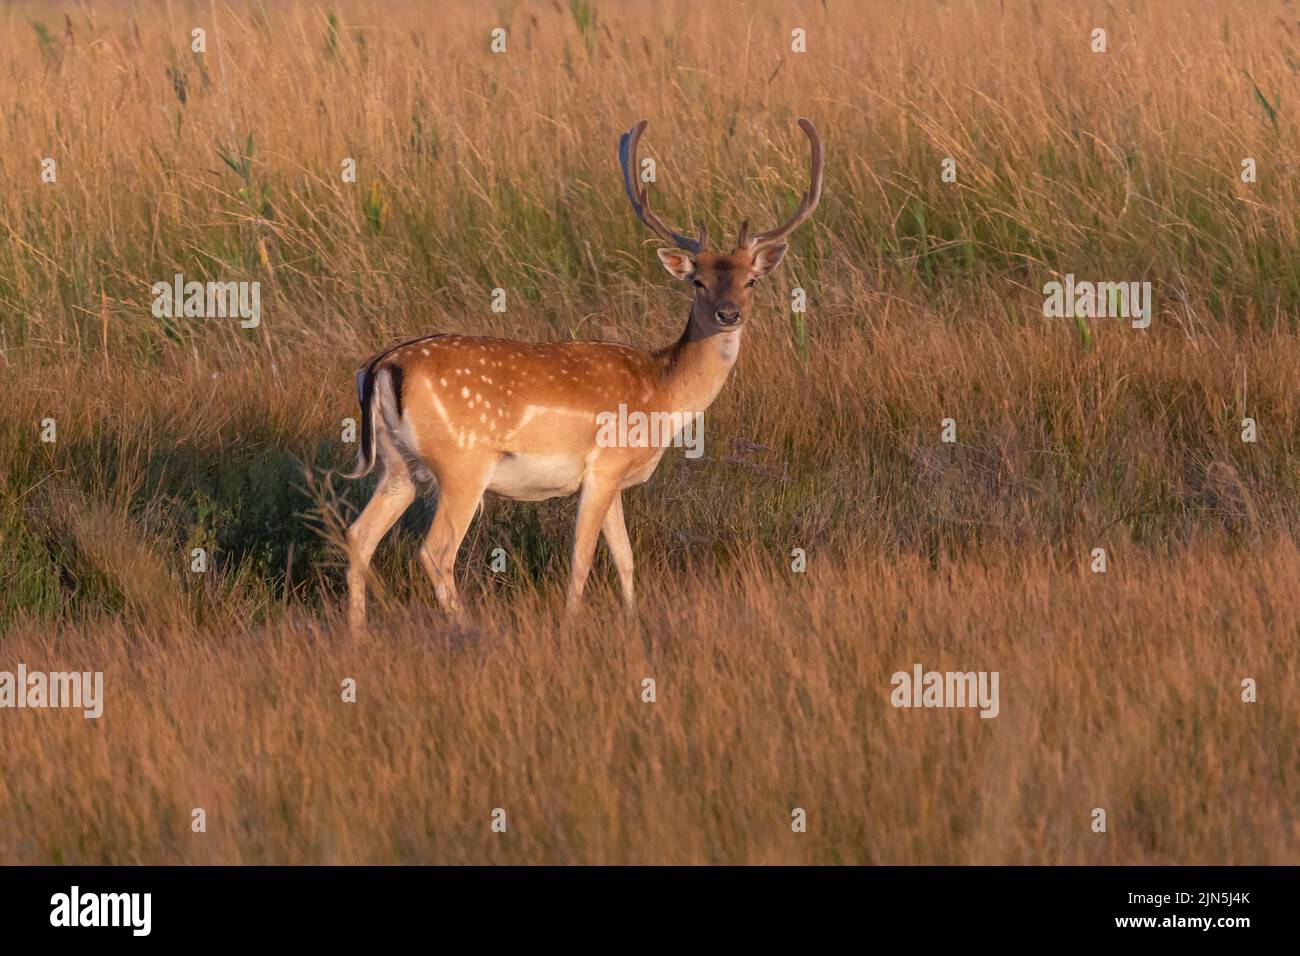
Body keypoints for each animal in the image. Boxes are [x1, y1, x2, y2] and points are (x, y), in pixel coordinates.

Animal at [342, 118, 823, 632]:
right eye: (698, 281)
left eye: (750, 280)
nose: (729, 314)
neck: (663, 394)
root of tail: (383, 365)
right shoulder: (602, 467)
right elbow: (583, 557)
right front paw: (572, 622)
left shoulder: (615, 481)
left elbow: (626, 557)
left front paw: (633, 618)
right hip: (463, 464)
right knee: (434, 552)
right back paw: (467, 628)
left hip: (398, 465)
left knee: (358, 536)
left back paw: (357, 633)